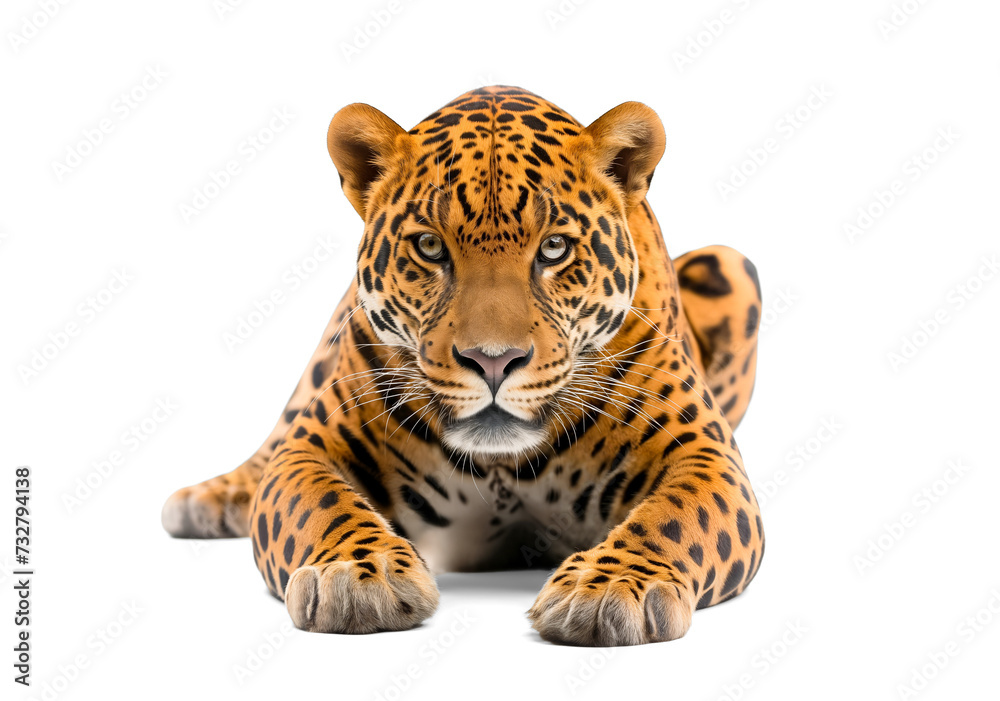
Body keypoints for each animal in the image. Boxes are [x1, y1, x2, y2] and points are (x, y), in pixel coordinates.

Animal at [162, 86, 765, 646]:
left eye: (554, 249)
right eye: (430, 247)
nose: (493, 361)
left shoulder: (704, 454)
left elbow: (673, 518)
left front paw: (611, 588)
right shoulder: (310, 446)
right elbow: (319, 503)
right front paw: (357, 575)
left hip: (733, 265)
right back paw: (207, 499)